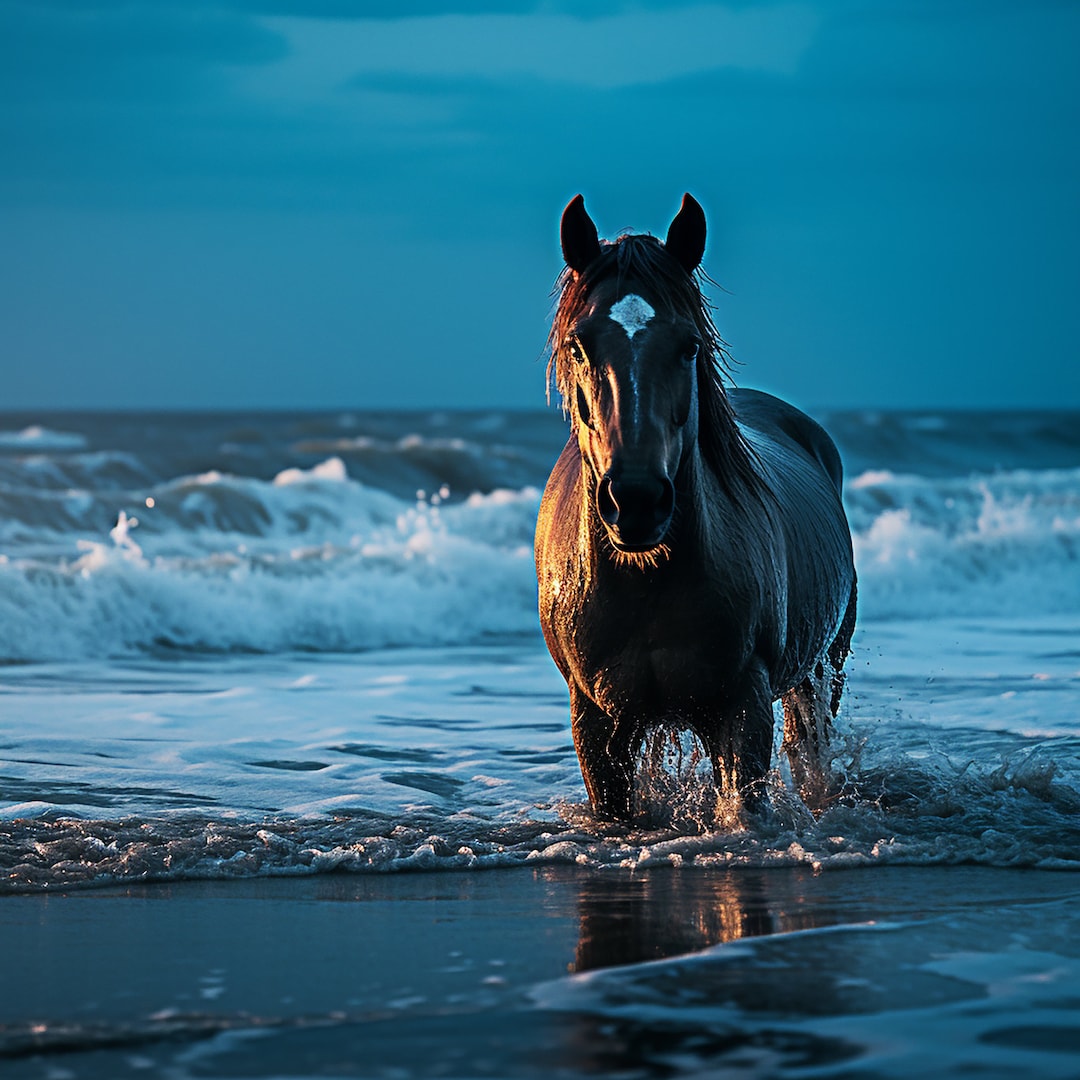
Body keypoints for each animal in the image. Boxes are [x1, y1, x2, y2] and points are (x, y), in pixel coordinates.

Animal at [534, 193, 857, 822]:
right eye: (579, 344)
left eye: (688, 346)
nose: (635, 500)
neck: (647, 581)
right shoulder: (597, 726)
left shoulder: (743, 708)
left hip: (821, 671)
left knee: (811, 750)